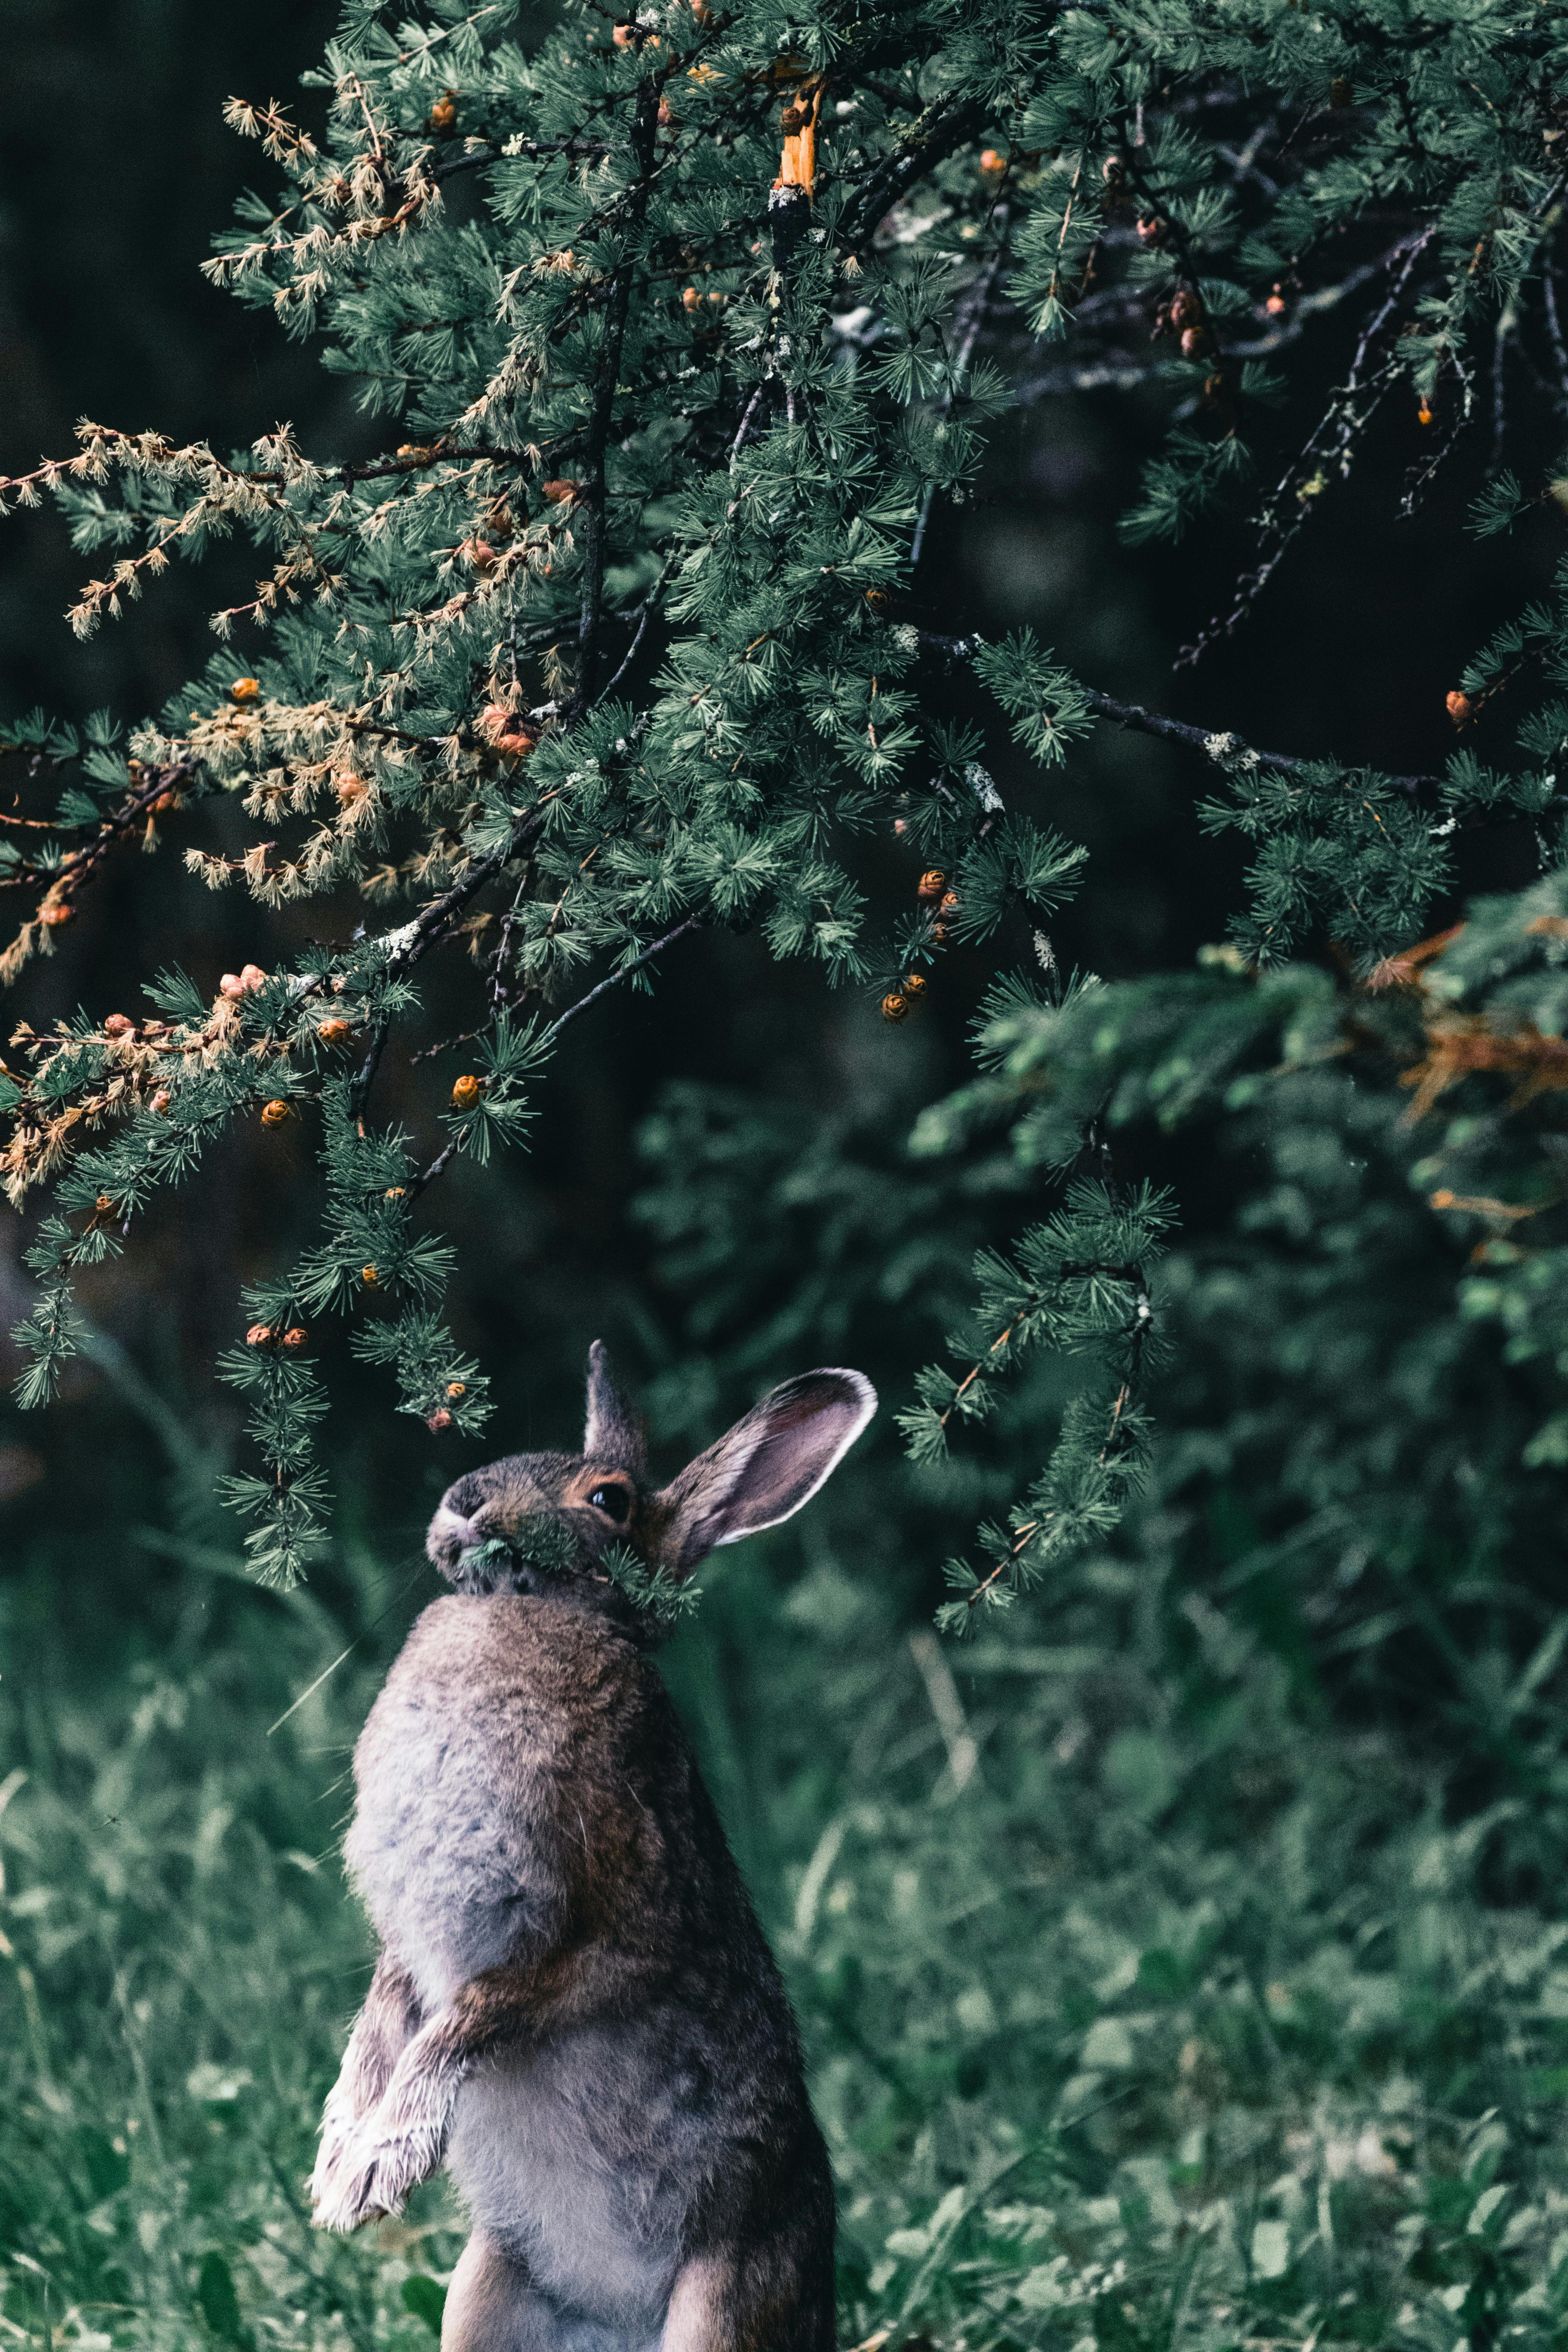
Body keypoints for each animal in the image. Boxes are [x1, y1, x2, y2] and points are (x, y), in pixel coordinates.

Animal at [310, 1342, 876, 2352]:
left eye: (607, 1499)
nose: (464, 1498)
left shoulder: (587, 1936)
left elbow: (461, 2027)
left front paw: (375, 2169)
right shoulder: (405, 1938)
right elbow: (377, 2027)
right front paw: (337, 2160)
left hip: (718, 2304)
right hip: (485, 2290)